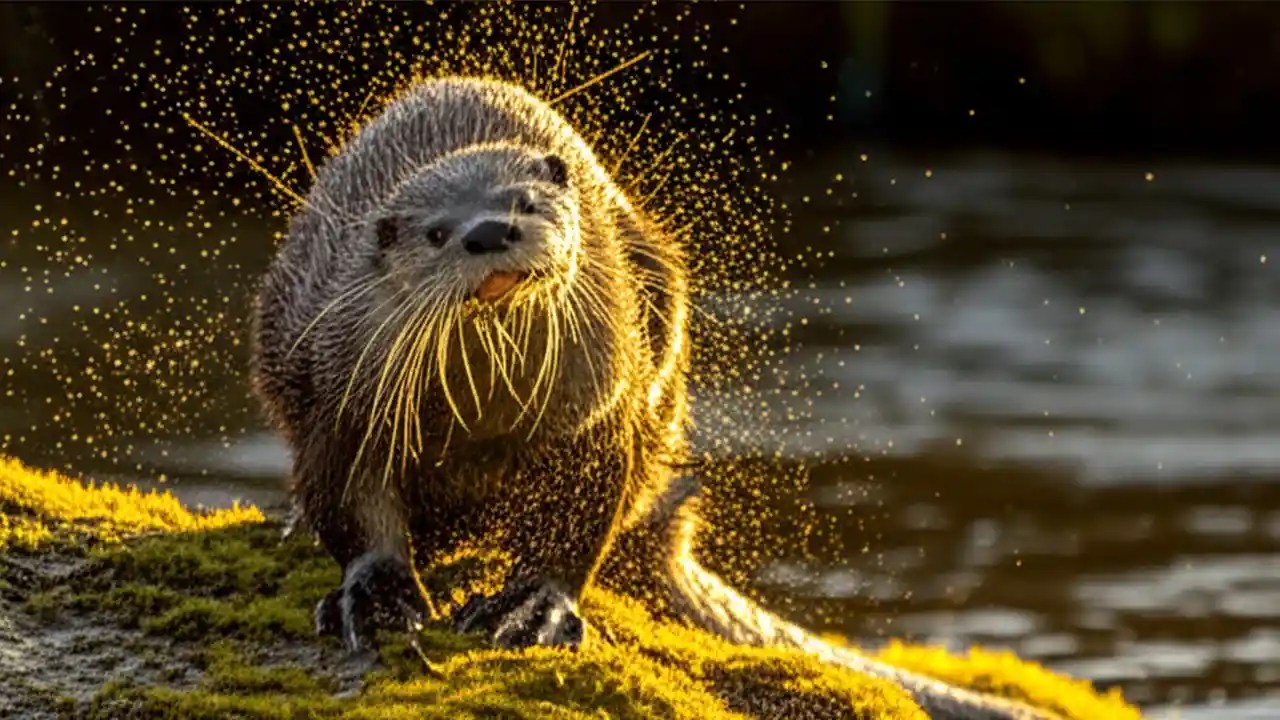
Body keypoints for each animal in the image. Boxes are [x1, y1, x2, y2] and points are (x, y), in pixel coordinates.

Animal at [251, 77, 1056, 720]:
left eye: (526, 201)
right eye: (435, 232)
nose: (488, 230)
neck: (486, 422)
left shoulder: (602, 409)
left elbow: (580, 513)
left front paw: (531, 608)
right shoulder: (344, 403)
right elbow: (348, 504)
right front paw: (377, 597)